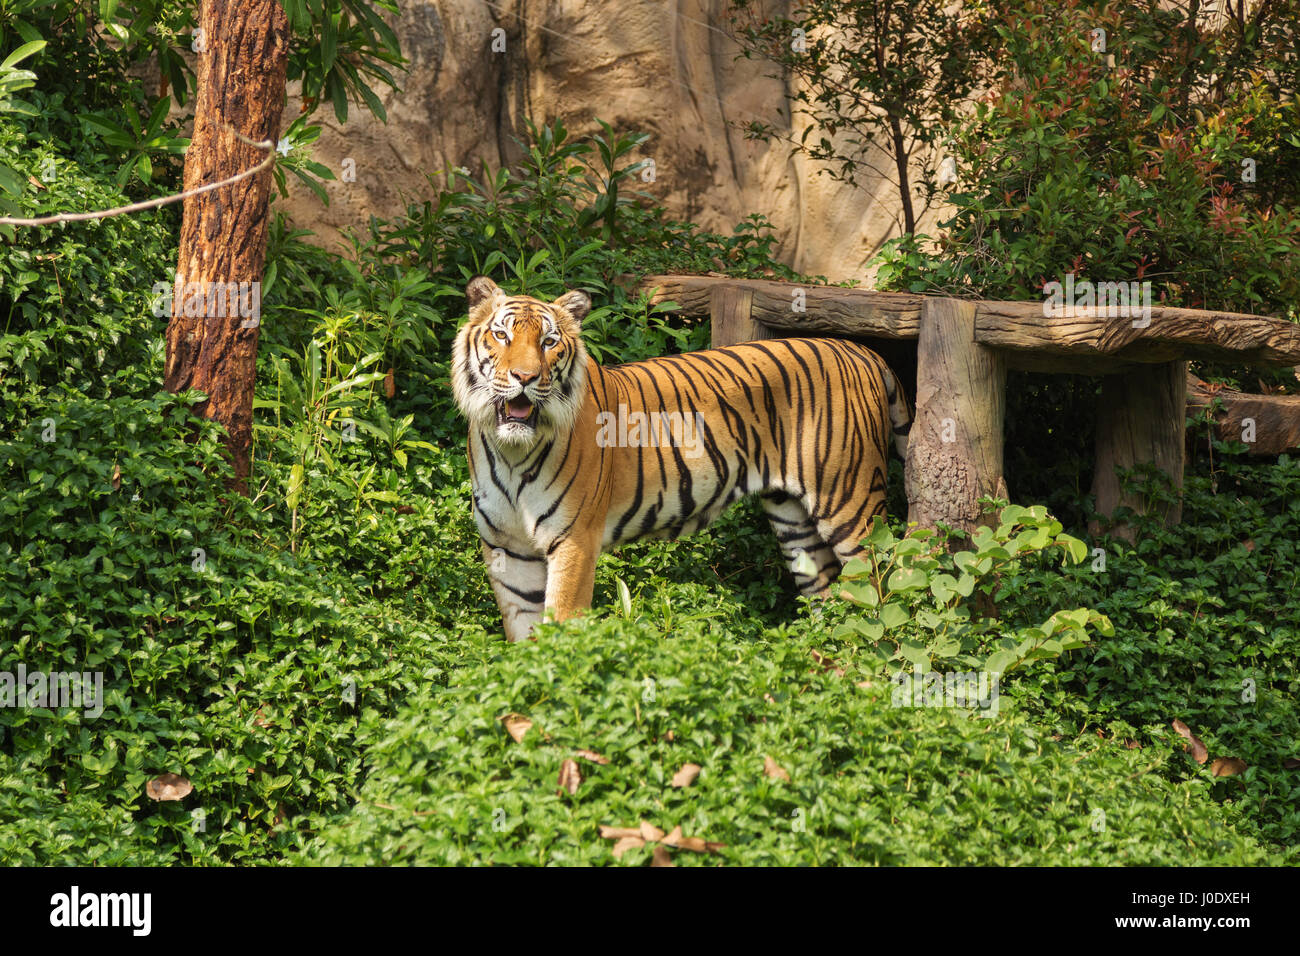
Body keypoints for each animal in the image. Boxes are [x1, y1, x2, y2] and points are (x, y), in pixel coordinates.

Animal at [452, 275, 912, 642]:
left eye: (548, 342)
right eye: (502, 336)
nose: (525, 378)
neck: (513, 451)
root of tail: (861, 351)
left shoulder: (574, 541)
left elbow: (561, 625)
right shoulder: (507, 549)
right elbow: (523, 634)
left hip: (849, 503)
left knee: (878, 585)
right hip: (794, 521)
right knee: (828, 592)